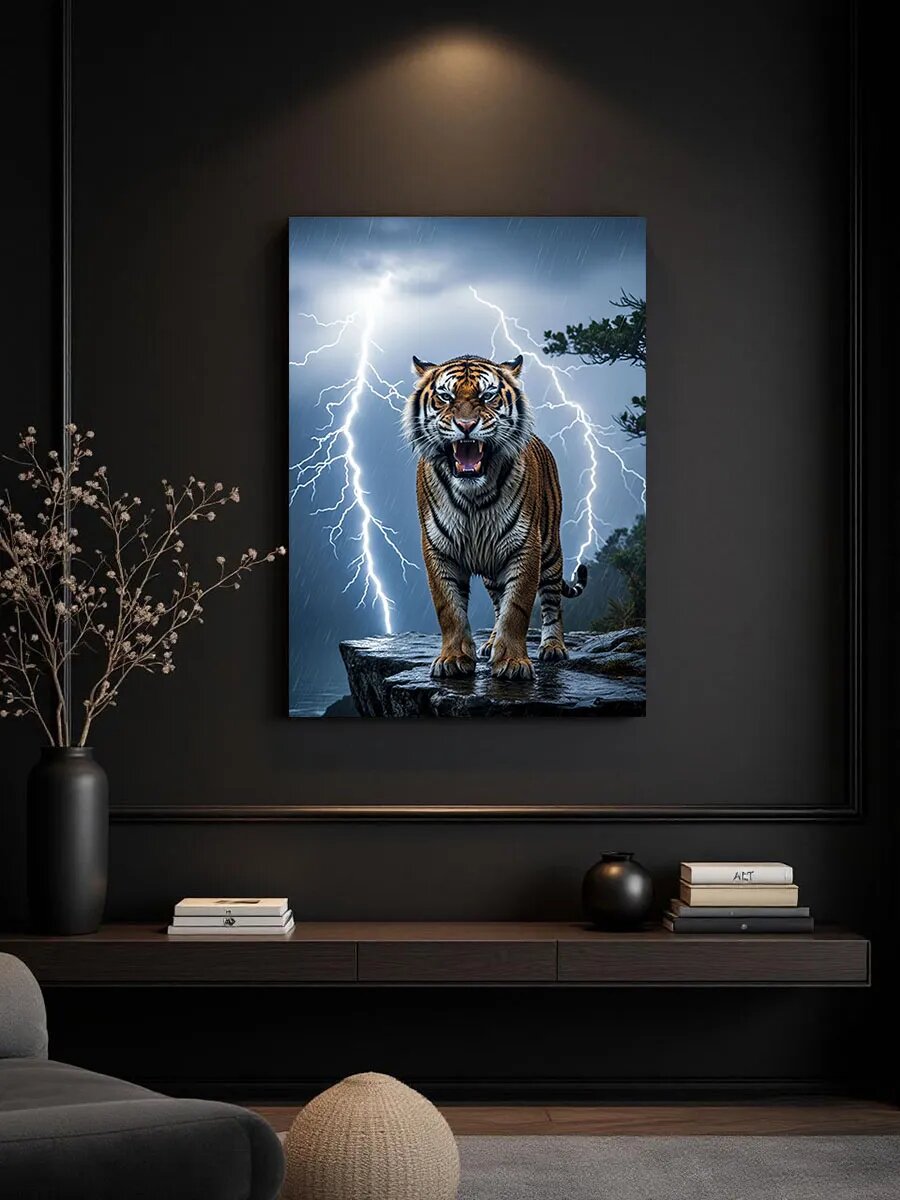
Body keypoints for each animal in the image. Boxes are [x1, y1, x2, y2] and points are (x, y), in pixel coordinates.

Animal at [403, 352, 587, 681]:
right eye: (445, 397)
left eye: (487, 396)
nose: (466, 425)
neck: (472, 495)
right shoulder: (438, 548)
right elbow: (449, 608)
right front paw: (453, 659)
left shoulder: (526, 547)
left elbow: (517, 608)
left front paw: (513, 663)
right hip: (492, 568)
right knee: (498, 602)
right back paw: (490, 643)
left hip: (551, 550)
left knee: (552, 601)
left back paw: (553, 647)